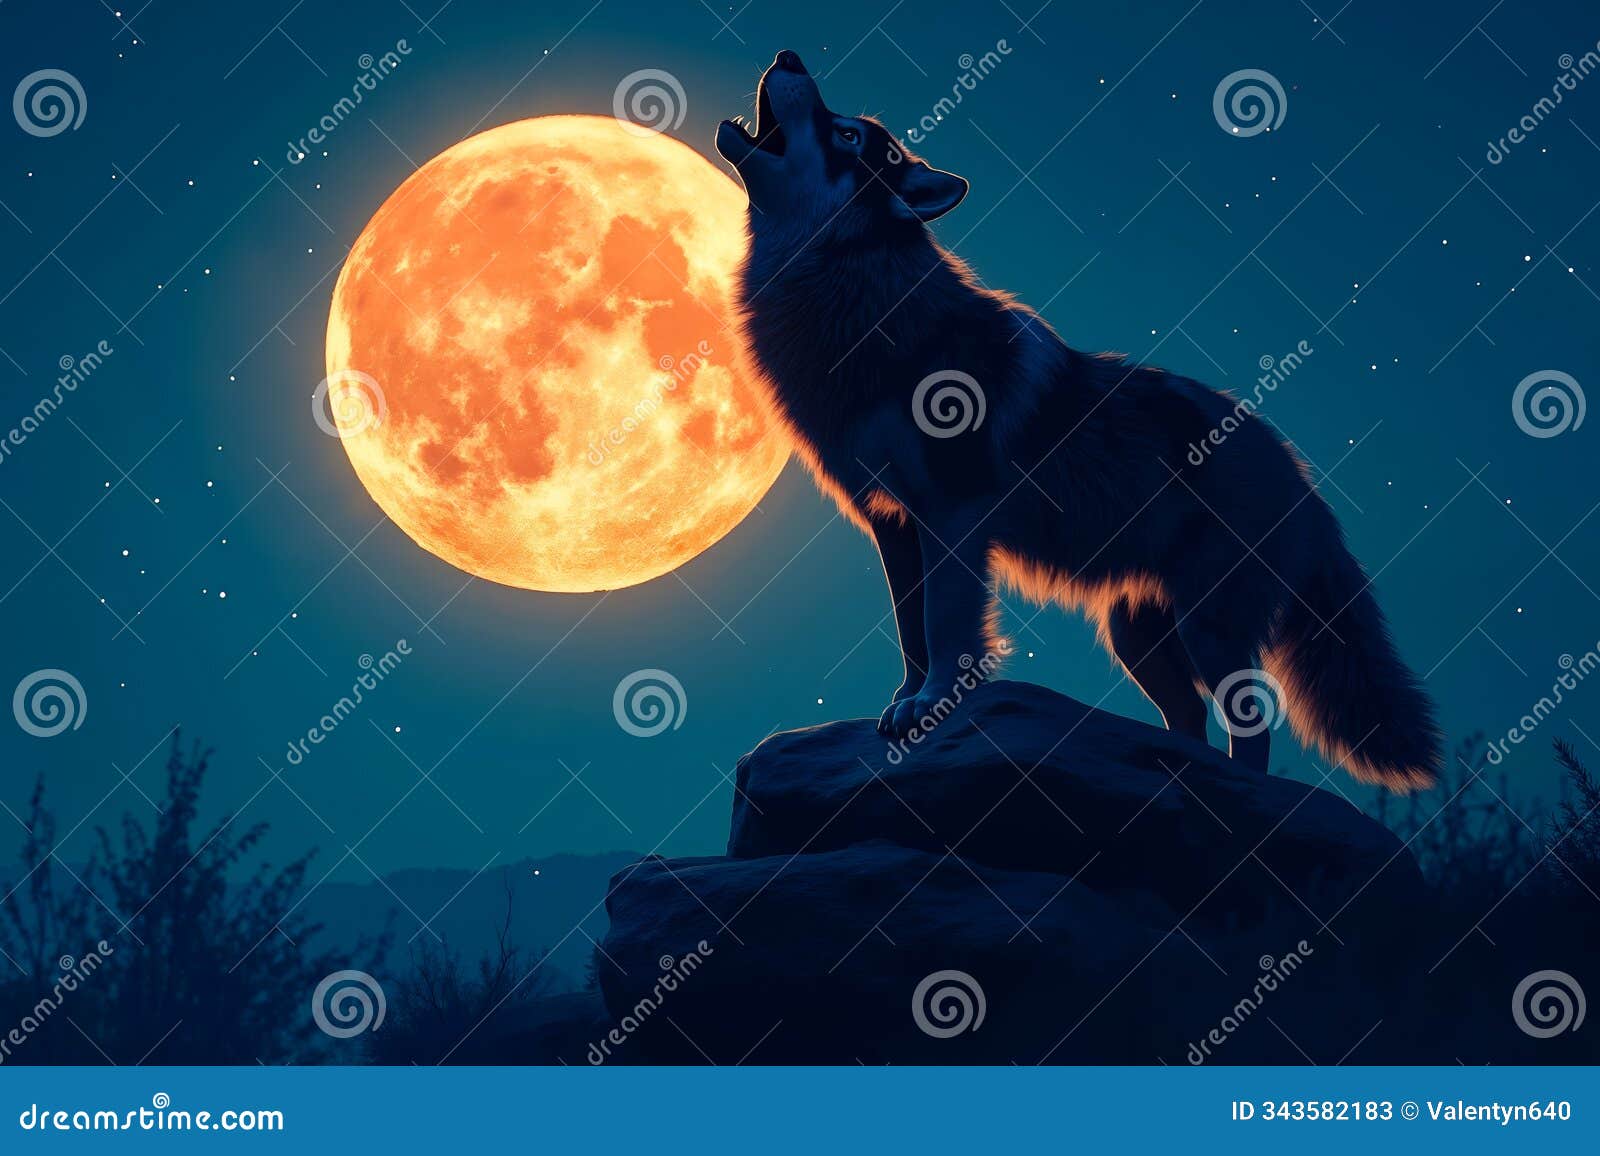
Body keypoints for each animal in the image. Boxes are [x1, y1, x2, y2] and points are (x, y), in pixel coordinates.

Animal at [715, 51, 1441, 790]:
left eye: (849, 134)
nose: (789, 57)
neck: (857, 302)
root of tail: (1299, 472)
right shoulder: (893, 524)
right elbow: (910, 632)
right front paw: (904, 704)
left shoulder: (953, 516)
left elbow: (945, 625)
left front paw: (931, 704)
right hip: (1137, 636)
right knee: (1190, 719)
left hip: (1206, 626)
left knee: (1253, 722)